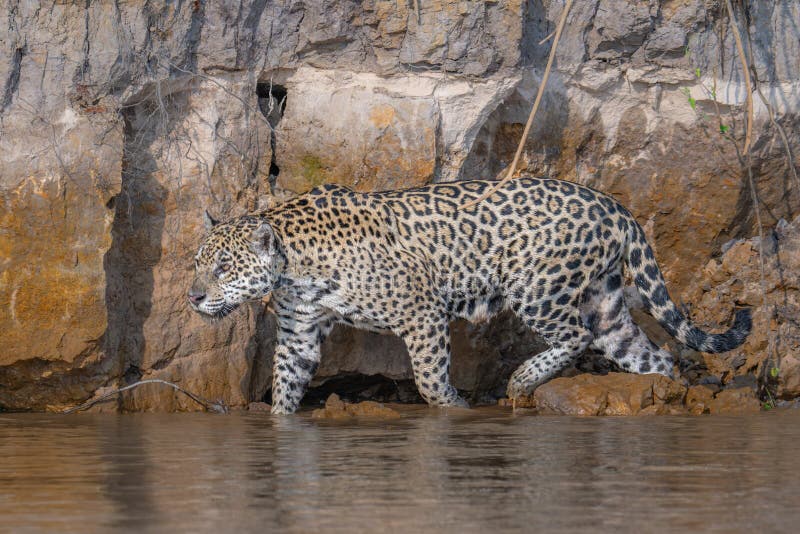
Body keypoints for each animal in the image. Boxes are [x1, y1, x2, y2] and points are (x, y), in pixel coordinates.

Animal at [189, 177, 751, 414]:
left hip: (535, 287)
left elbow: (429, 379)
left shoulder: (421, 311)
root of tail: (615, 205)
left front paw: (454, 409)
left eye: (223, 268)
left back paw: (522, 382)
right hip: (608, 302)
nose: (193, 298)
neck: (293, 266)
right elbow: (285, 386)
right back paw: (666, 396)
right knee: (654, 355)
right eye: (197, 264)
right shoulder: (299, 331)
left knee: (575, 334)